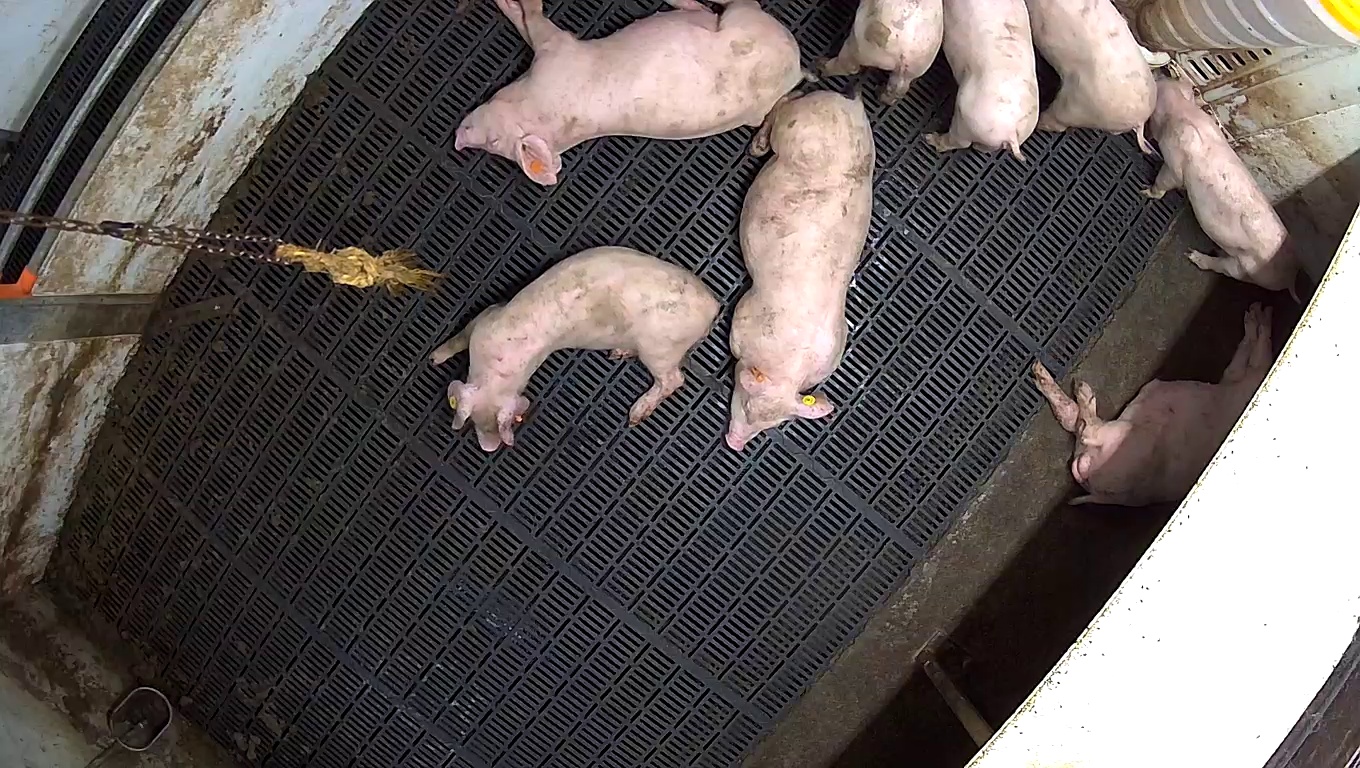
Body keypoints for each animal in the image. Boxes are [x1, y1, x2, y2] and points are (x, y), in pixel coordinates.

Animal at [431, 247, 719, 452]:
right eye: (473, 421)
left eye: (511, 421)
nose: (489, 447)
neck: (497, 371)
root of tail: (712, 307)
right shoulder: (488, 316)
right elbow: (459, 338)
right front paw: (435, 359)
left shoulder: (485, 320)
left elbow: (458, 338)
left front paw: (433, 358)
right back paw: (617, 354)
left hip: (659, 349)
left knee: (673, 380)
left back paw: (635, 415)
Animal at [454, 0, 802, 185]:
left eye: (493, 142)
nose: (458, 140)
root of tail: (795, 64)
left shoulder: (557, 51)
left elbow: (532, 22)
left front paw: (511, 5)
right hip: (756, 100)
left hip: (743, 21)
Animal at [727, 91, 875, 450]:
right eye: (746, 403)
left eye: (775, 423)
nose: (734, 444)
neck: (788, 364)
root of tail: (847, 102)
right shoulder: (742, 316)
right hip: (793, 124)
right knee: (783, 103)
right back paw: (755, 147)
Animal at [1031, 303, 1273, 506]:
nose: (1258, 306)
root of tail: (1097, 490)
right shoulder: (1235, 375)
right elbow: (1243, 355)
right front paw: (1256, 313)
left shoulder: (1247, 375)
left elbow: (1254, 354)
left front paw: (1259, 317)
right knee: (1078, 424)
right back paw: (1046, 374)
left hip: (1128, 438)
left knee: (1084, 428)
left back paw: (1080, 389)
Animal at [1143, 76, 1299, 296]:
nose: (1162, 75)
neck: (1181, 110)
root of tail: (1291, 276)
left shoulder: (1174, 162)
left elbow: (1167, 180)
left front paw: (1144, 191)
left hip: (1244, 267)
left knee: (1223, 268)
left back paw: (1192, 255)